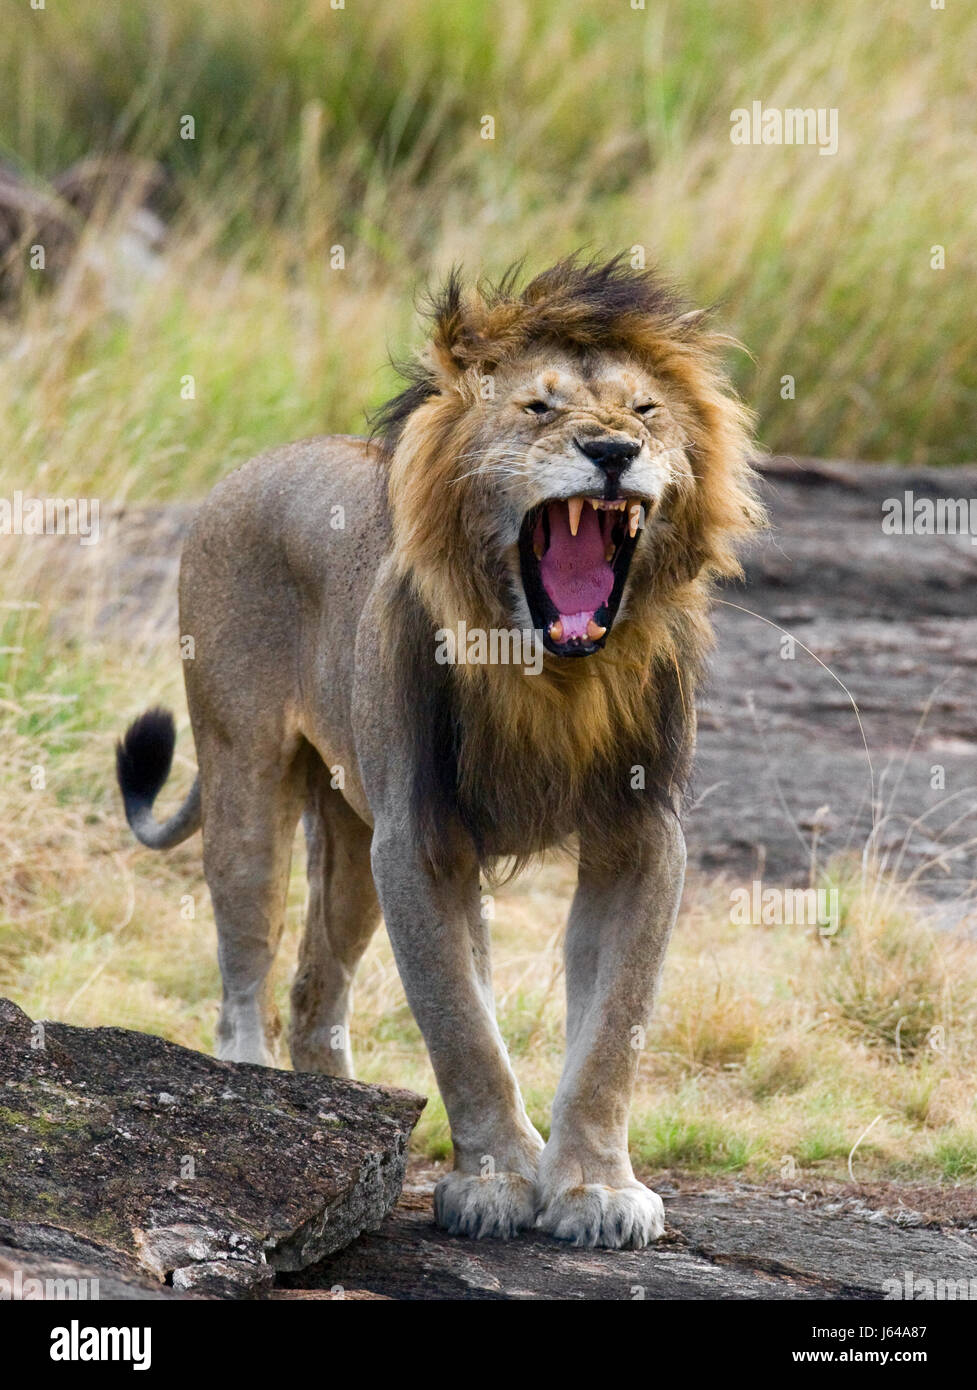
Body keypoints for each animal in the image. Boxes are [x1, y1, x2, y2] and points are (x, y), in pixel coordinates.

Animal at [116, 255, 763, 1249]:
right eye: (537, 408)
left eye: (646, 411)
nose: (611, 451)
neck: (549, 679)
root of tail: (256, 465)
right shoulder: (419, 842)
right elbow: (462, 1024)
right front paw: (495, 1178)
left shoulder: (639, 836)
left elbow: (611, 1032)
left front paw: (593, 1187)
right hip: (244, 778)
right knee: (245, 962)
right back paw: (252, 1090)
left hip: (347, 837)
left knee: (315, 990)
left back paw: (335, 1117)